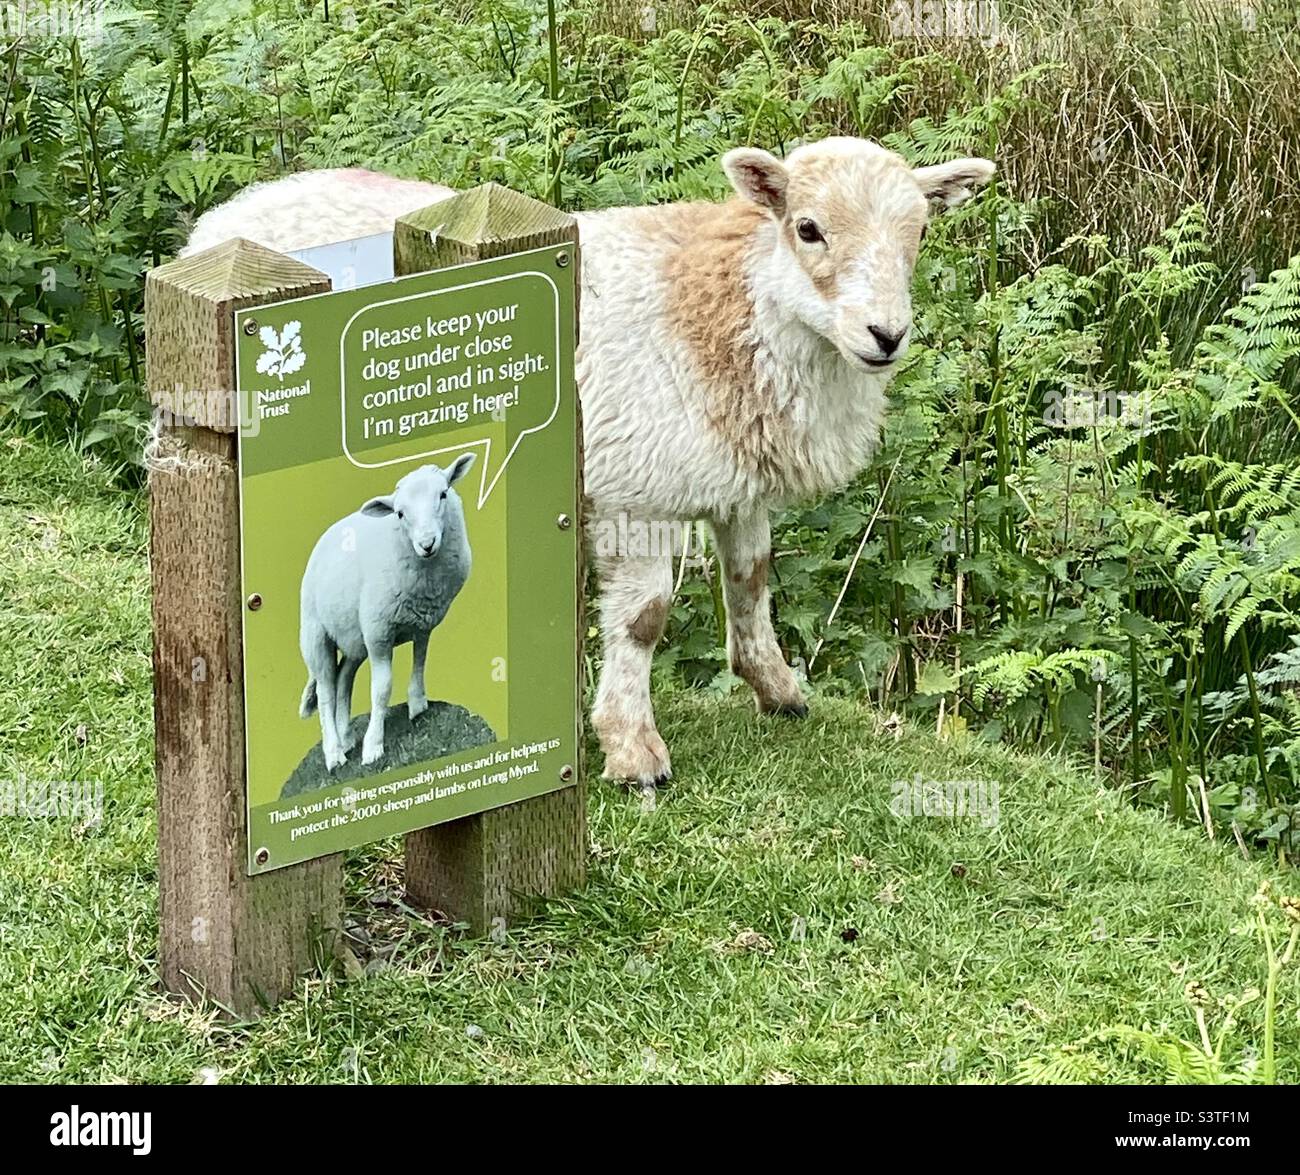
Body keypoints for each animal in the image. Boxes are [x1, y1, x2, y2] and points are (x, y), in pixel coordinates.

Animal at [299, 453, 476, 770]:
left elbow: (420, 661)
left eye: (443, 494)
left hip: (353, 637)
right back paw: (334, 754)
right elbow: (381, 688)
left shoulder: (423, 622)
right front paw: (373, 747)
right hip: (316, 633)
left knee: (343, 678)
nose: (427, 544)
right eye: (400, 514)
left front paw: (418, 705)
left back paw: (346, 738)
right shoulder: (378, 632)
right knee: (325, 690)